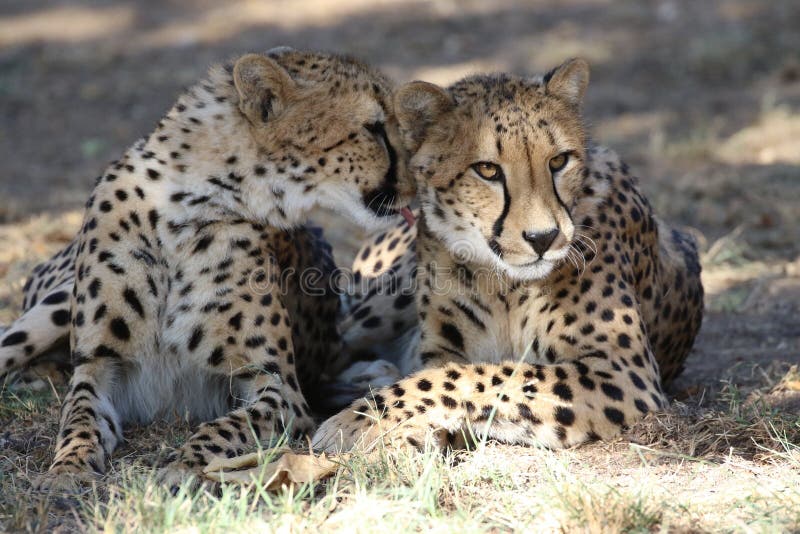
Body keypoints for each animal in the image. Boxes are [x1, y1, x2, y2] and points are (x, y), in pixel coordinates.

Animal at [0, 47, 415, 490]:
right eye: (375, 128)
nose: (418, 183)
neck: (186, 204)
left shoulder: (276, 385)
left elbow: (223, 426)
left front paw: (183, 464)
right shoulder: (98, 365)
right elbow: (78, 417)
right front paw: (67, 469)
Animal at [312, 58, 704, 454]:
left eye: (559, 160)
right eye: (487, 169)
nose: (544, 238)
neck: (504, 284)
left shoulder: (624, 372)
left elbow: (482, 376)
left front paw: (361, 420)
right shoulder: (440, 350)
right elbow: (449, 376)